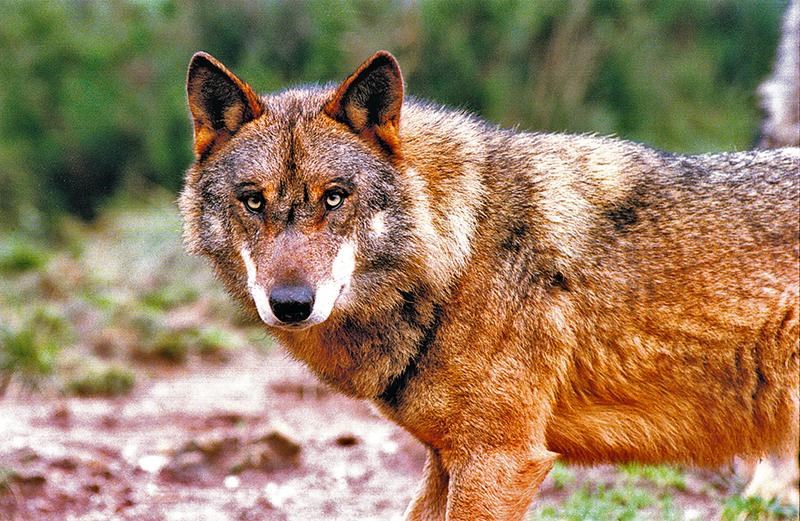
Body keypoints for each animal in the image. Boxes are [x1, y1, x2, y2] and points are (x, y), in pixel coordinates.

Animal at [179, 50, 800, 520]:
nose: (289, 304)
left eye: (334, 197)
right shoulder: (446, 460)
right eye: (252, 201)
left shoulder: (501, 459)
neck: (457, 253)